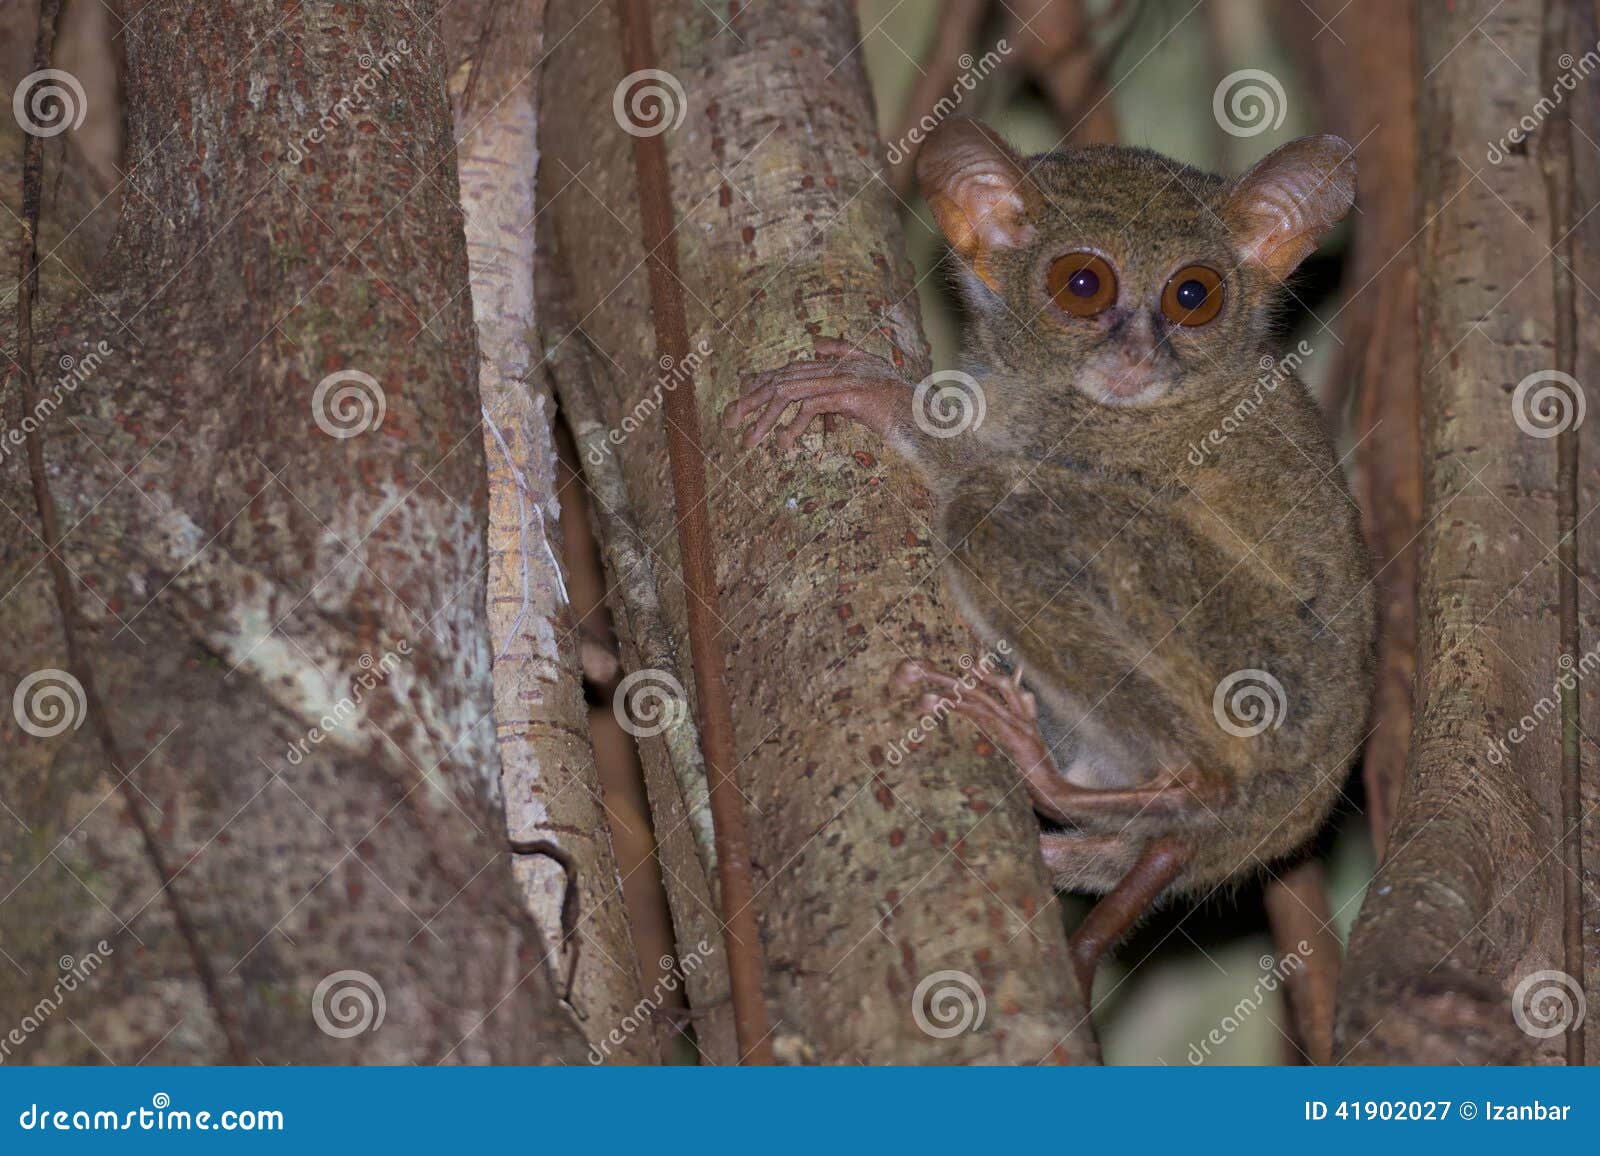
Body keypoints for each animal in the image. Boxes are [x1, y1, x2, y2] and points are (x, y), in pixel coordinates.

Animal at [723, 117, 1375, 996]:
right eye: (1083, 286)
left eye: (1193, 296)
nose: (1138, 356)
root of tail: (1300, 809)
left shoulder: (1104, 439)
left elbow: (976, 463)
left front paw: (880, 396)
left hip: (1262, 672)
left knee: (993, 506)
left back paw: (1062, 771)